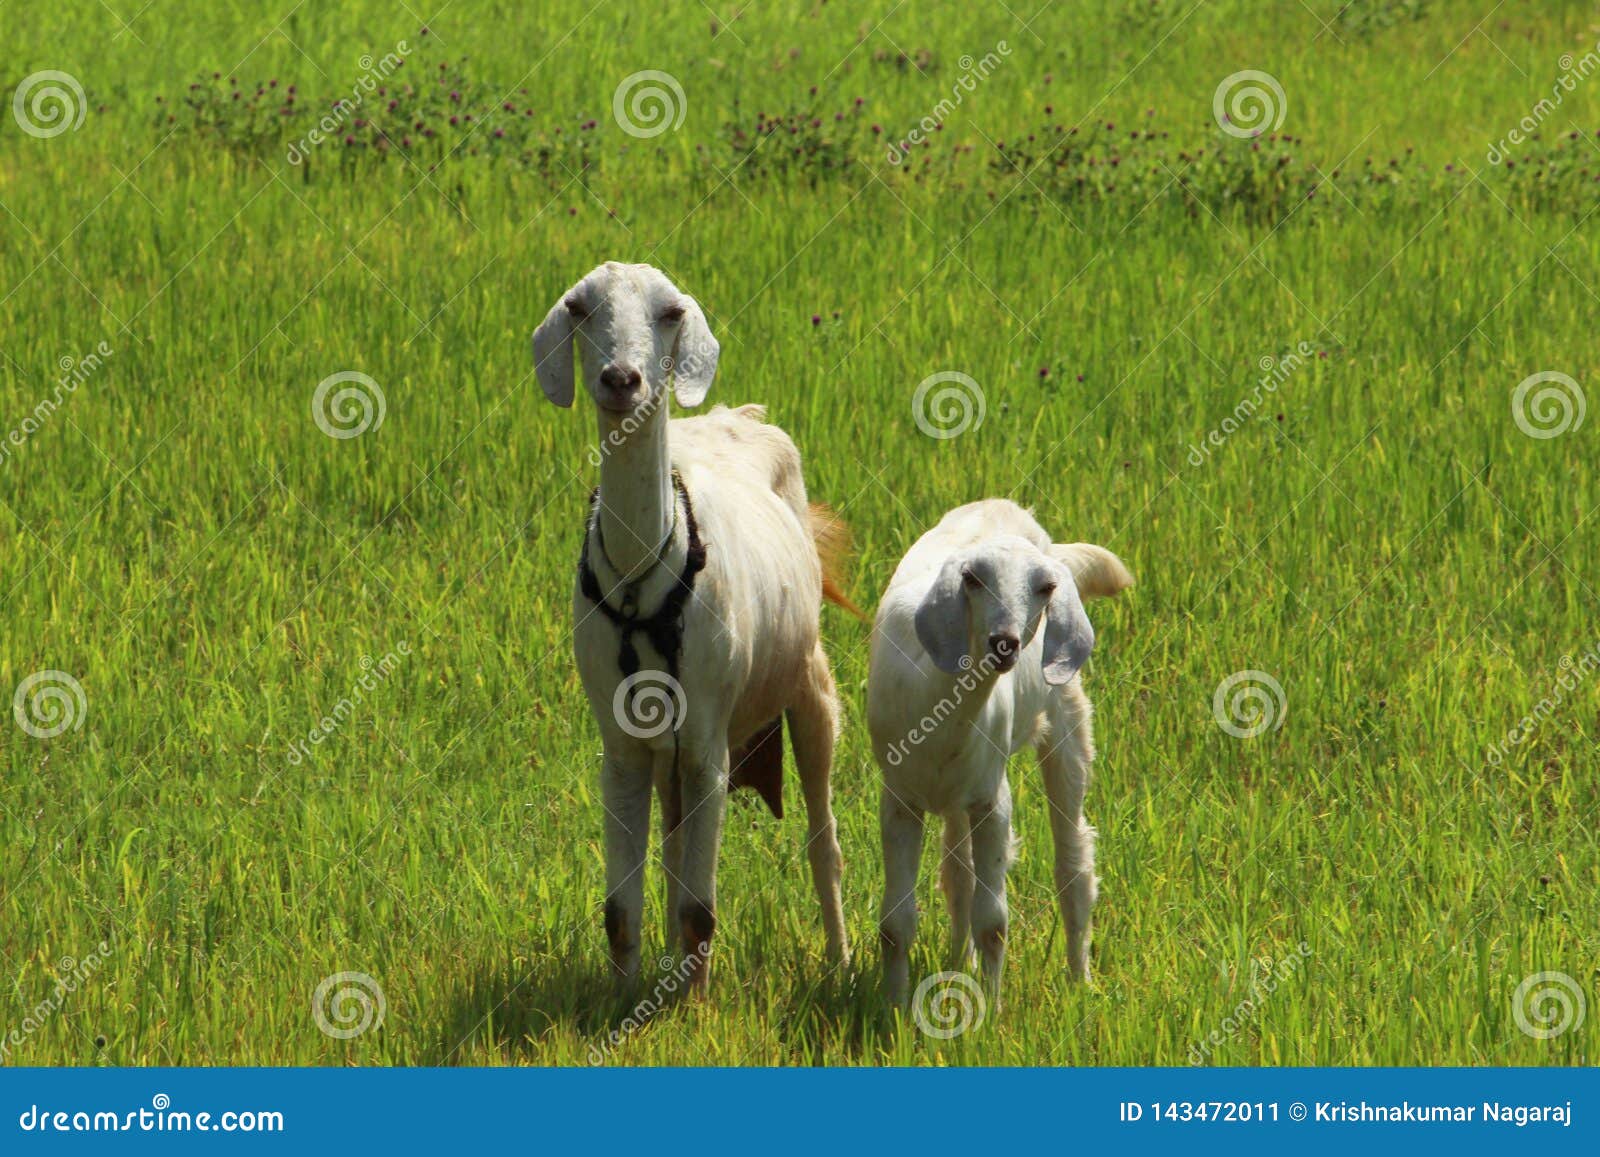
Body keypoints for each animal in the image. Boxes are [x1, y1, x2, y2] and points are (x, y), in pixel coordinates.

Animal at [533, 261, 853, 992]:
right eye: (579, 307)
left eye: (671, 312)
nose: (622, 379)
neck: (640, 585)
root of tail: (740, 416)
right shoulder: (620, 744)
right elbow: (621, 909)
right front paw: (625, 1000)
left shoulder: (708, 737)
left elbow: (699, 909)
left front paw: (697, 1006)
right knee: (677, 845)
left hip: (809, 681)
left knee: (822, 834)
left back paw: (841, 959)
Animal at [866, 499, 1132, 1004]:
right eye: (972, 579)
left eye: (1045, 588)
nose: (1003, 643)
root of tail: (1006, 506)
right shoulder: (899, 799)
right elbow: (896, 923)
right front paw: (891, 1006)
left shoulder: (993, 799)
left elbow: (992, 922)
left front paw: (991, 1009)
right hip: (958, 792)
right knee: (958, 873)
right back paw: (958, 962)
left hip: (1065, 718)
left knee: (1073, 863)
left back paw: (1079, 981)